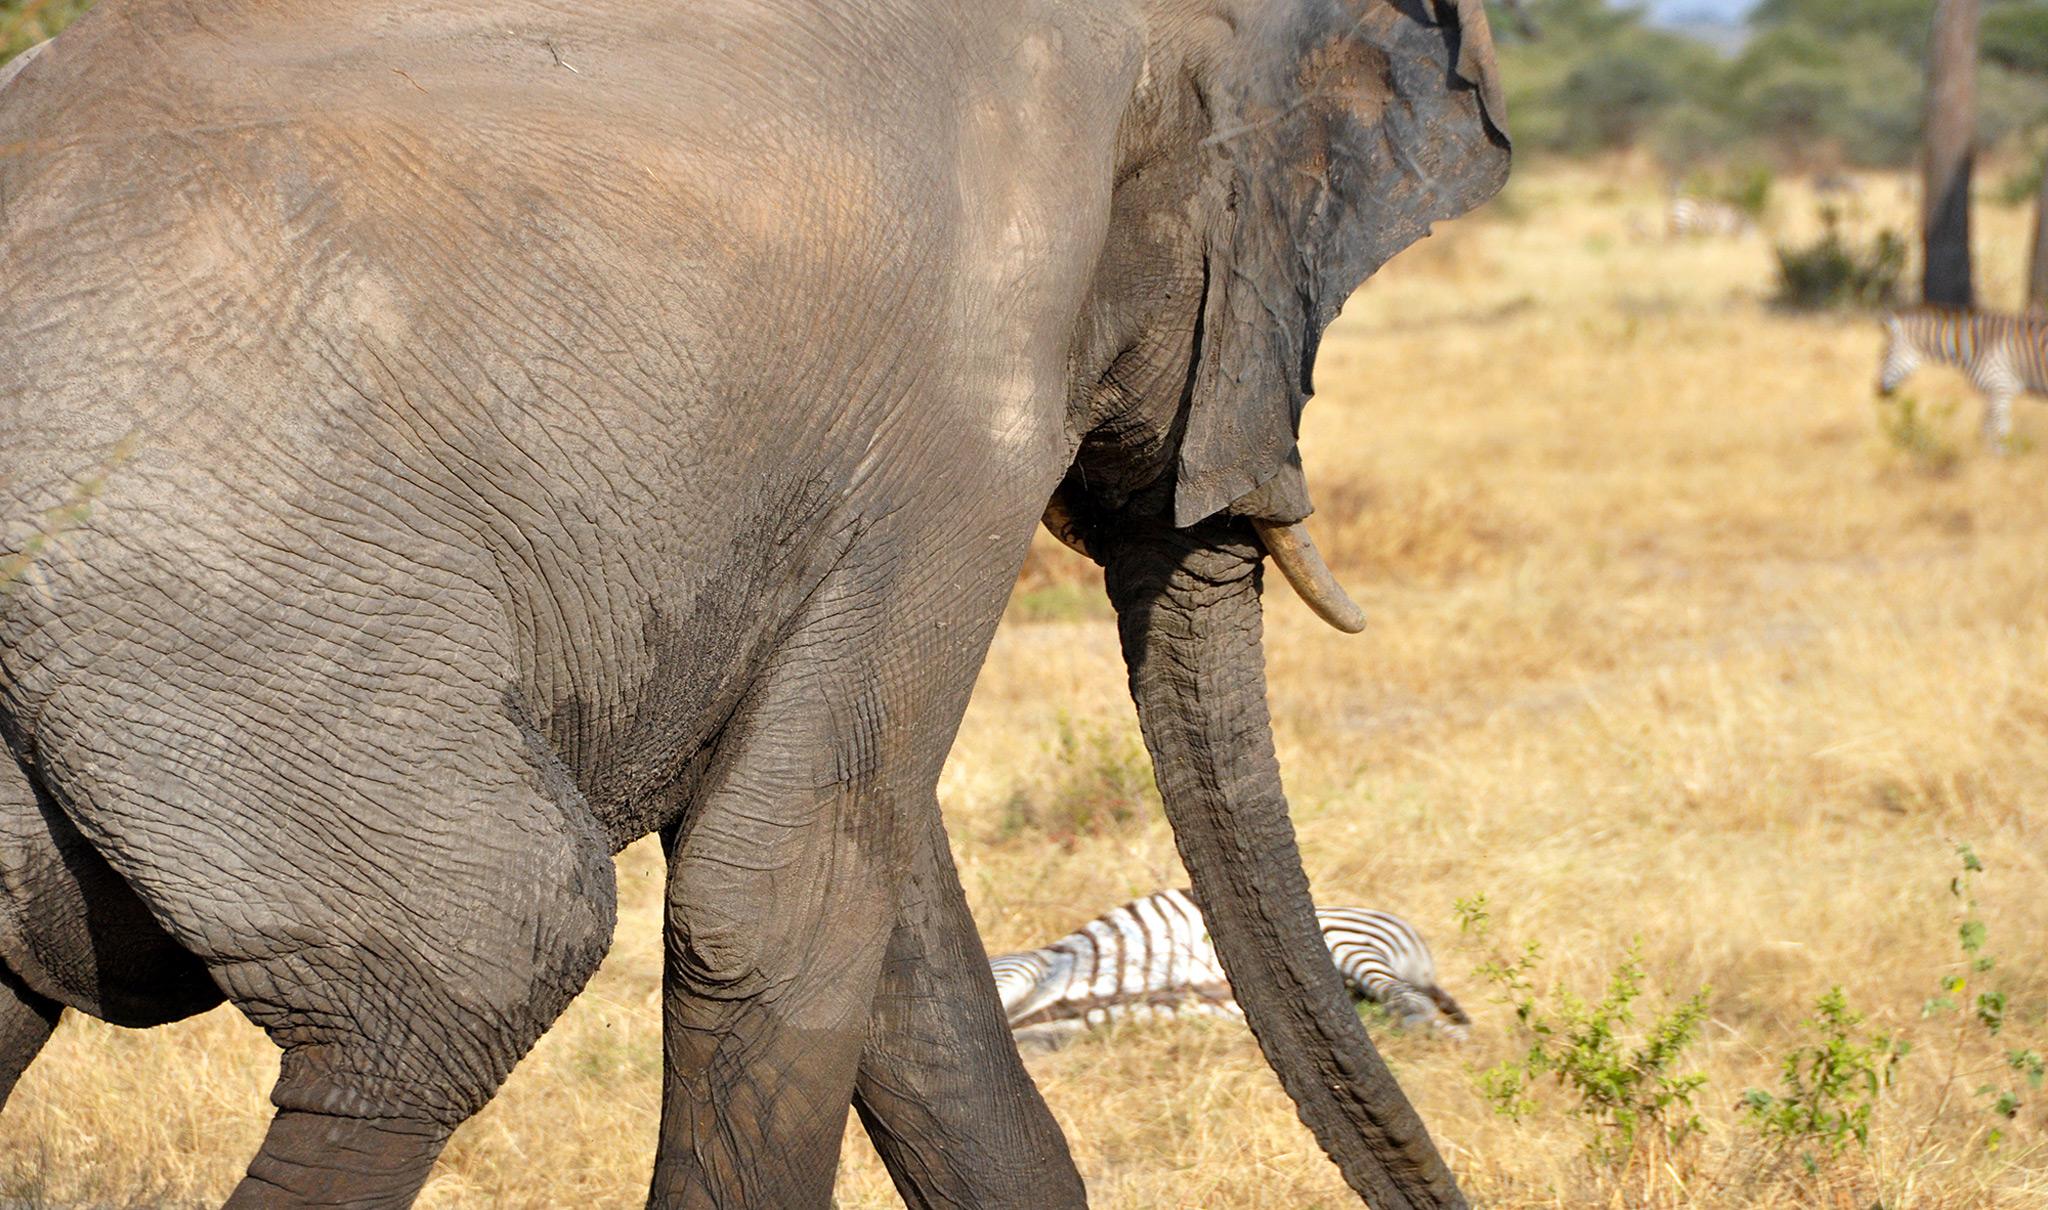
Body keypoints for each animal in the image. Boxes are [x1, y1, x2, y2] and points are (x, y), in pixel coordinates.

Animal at [1880, 306, 2048, 451]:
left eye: (1885, 355)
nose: (1879, 392)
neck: (1974, 348)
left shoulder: (2000, 388)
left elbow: (1996, 429)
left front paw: (1998, 457)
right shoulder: (1996, 392)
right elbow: (1991, 428)